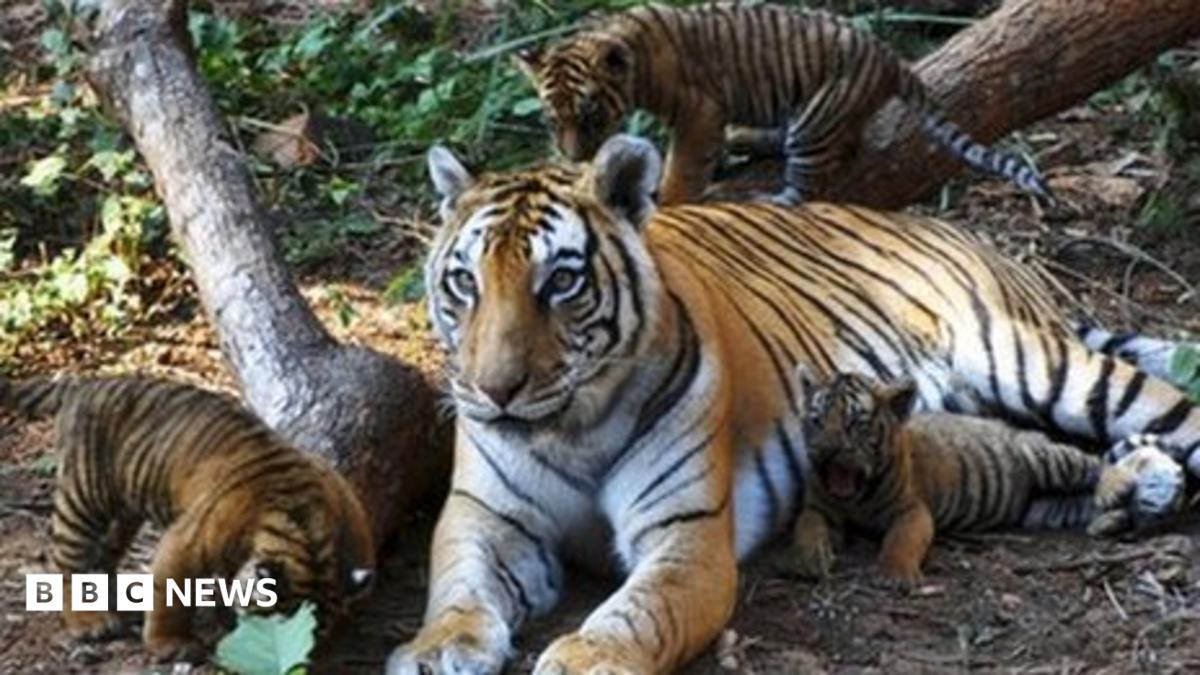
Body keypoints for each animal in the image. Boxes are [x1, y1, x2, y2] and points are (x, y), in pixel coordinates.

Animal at [0, 374, 376, 662]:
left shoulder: (342, 496)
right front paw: (171, 645)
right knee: (66, 559)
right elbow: (170, 597)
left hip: (124, 510)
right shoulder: (186, 544)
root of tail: (87, 381)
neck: (303, 523)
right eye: (277, 632)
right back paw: (87, 621)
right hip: (84, 494)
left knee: (103, 554)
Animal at [515, 2, 1051, 206]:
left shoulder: (700, 111)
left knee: (815, 179)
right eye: (553, 119)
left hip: (813, 121)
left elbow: (684, 165)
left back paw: (773, 195)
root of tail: (888, 57)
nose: (575, 155)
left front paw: (668, 198)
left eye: (590, 113)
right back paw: (744, 141)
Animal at [792, 370, 1185, 582]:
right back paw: (1109, 520)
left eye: (854, 423)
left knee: (1093, 463)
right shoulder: (819, 508)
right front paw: (809, 560)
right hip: (1045, 510)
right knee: (1083, 502)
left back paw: (1113, 487)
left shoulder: (912, 510)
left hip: (1046, 457)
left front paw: (895, 574)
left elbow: (903, 540)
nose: (825, 451)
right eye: (816, 421)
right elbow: (807, 527)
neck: (857, 496)